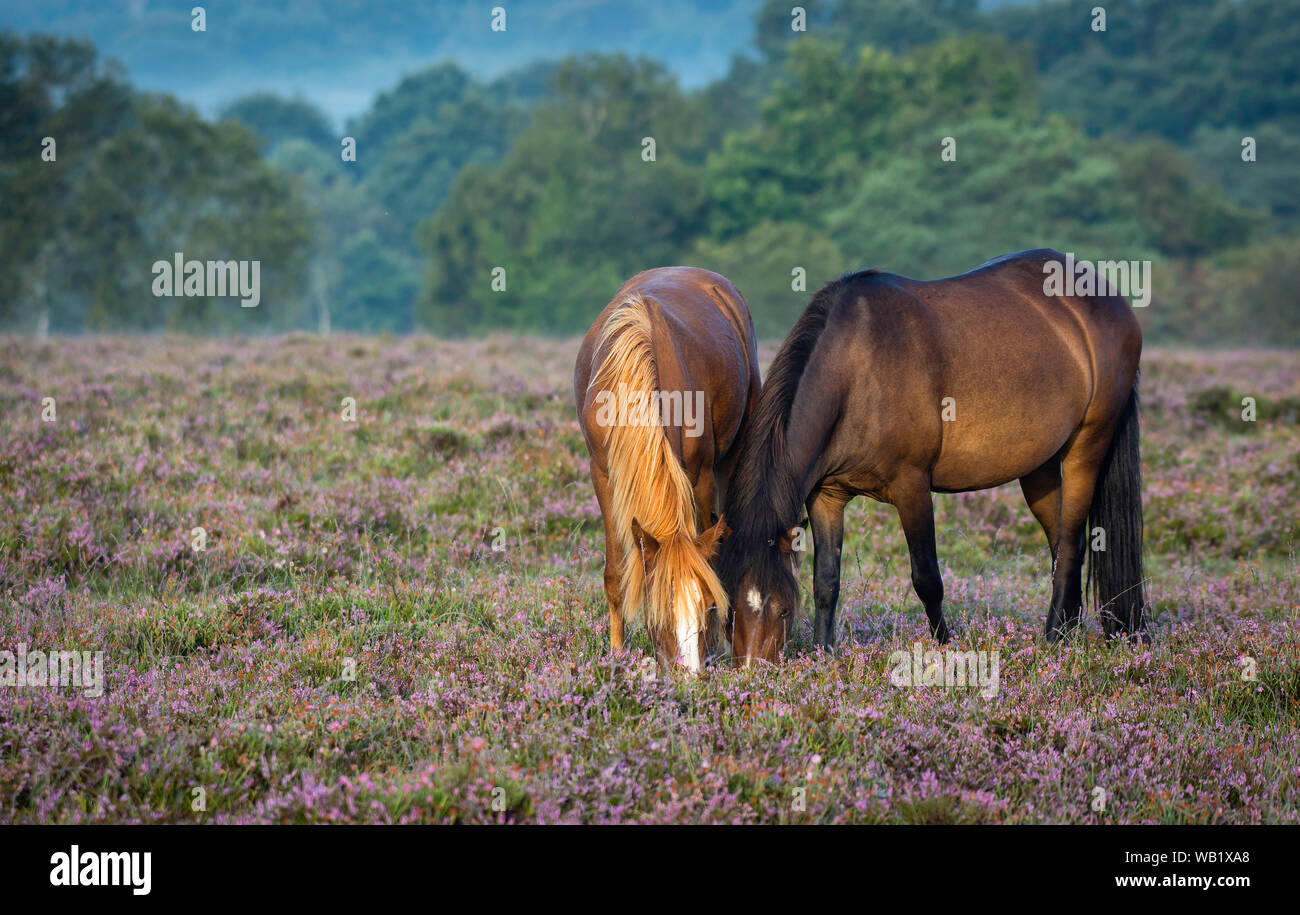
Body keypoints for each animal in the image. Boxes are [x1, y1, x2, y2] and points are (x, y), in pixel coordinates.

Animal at [575, 267, 761, 671]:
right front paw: (616, 654)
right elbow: (615, 574)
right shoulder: (602, 475)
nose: (689, 675)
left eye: (706, 604)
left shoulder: (700, 475)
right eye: (658, 616)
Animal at [716, 249, 1146, 665]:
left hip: (1086, 448)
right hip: (1038, 468)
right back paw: (1066, 633)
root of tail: (1109, 300)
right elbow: (826, 581)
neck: (857, 370)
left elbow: (927, 579)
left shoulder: (912, 486)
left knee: (1072, 543)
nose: (751, 672)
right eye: (730, 610)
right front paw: (825, 656)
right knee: (1059, 543)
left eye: (782, 610)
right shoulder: (826, 496)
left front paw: (944, 648)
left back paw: (1055, 636)